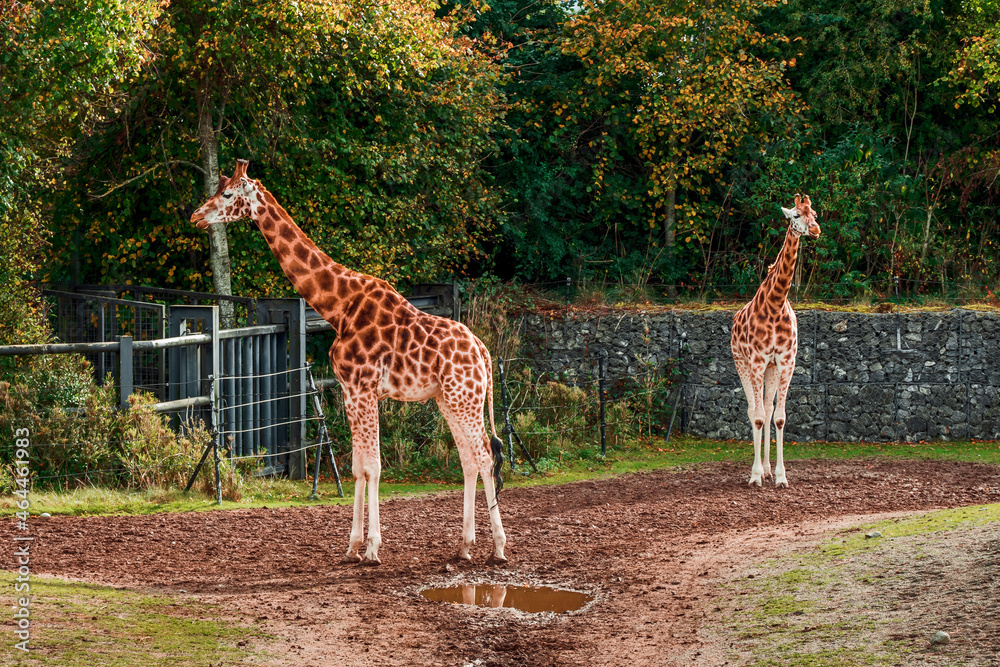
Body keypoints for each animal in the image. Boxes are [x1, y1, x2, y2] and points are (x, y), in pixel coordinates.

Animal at [190, 159, 507, 565]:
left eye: (228, 193)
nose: (196, 216)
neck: (338, 306)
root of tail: (483, 350)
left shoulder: (364, 389)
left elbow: (372, 466)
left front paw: (372, 548)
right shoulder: (349, 391)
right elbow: (358, 467)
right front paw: (353, 547)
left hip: (465, 399)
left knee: (484, 455)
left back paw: (498, 547)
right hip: (449, 399)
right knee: (468, 458)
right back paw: (465, 546)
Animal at [731, 195, 821, 488]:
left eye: (814, 213)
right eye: (795, 215)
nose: (815, 230)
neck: (775, 303)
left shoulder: (785, 361)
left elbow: (779, 418)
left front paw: (780, 477)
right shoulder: (757, 362)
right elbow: (758, 417)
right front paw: (755, 476)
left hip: (770, 369)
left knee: (768, 410)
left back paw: (768, 469)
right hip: (741, 363)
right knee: (753, 411)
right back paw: (758, 471)